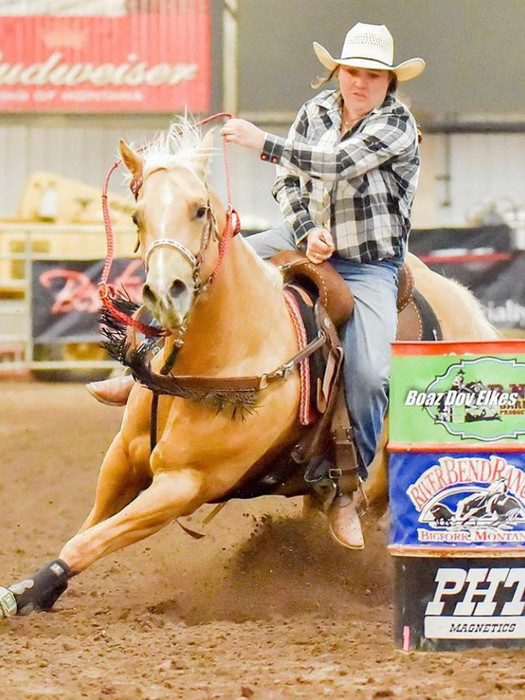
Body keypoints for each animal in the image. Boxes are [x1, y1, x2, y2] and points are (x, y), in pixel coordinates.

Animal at [0, 120, 499, 618]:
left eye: (199, 209)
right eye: (137, 216)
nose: (165, 292)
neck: (223, 356)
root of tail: (470, 316)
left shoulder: (185, 484)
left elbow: (87, 543)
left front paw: (19, 596)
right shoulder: (122, 456)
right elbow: (86, 529)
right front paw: (35, 591)